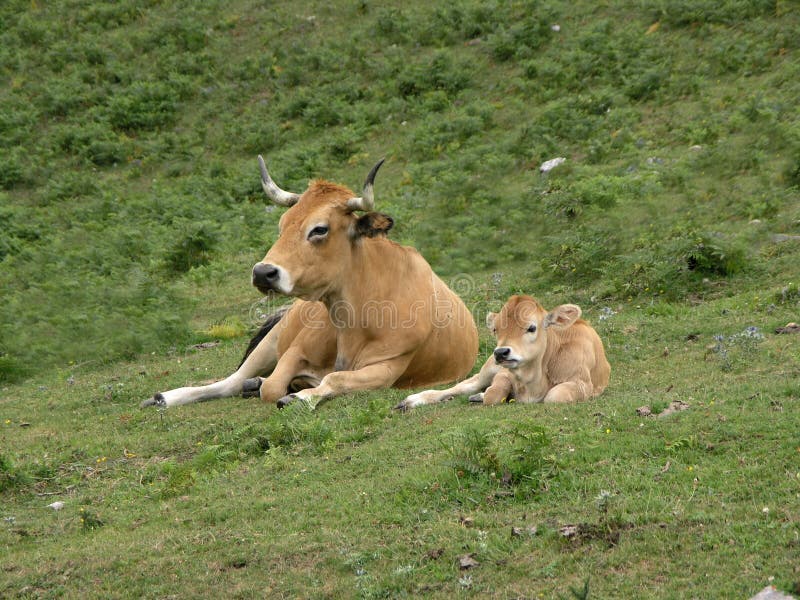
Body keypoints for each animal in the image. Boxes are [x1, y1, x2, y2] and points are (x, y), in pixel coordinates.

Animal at [142, 156, 479, 410]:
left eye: (319, 229)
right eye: (282, 225)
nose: (263, 272)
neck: (356, 320)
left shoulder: (387, 369)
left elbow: (333, 379)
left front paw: (302, 396)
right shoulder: (295, 349)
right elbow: (272, 386)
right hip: (274, 337)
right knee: (231, 381)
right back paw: (168, 397)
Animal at [396, 294, 609, 409]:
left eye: (532, 327)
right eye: (495, 329)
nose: (501, 352)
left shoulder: (582, 383)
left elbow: (555, 396)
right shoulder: (504, 373)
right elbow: (493, 394)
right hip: (487, 369)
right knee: (462, 387)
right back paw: (414, 400)